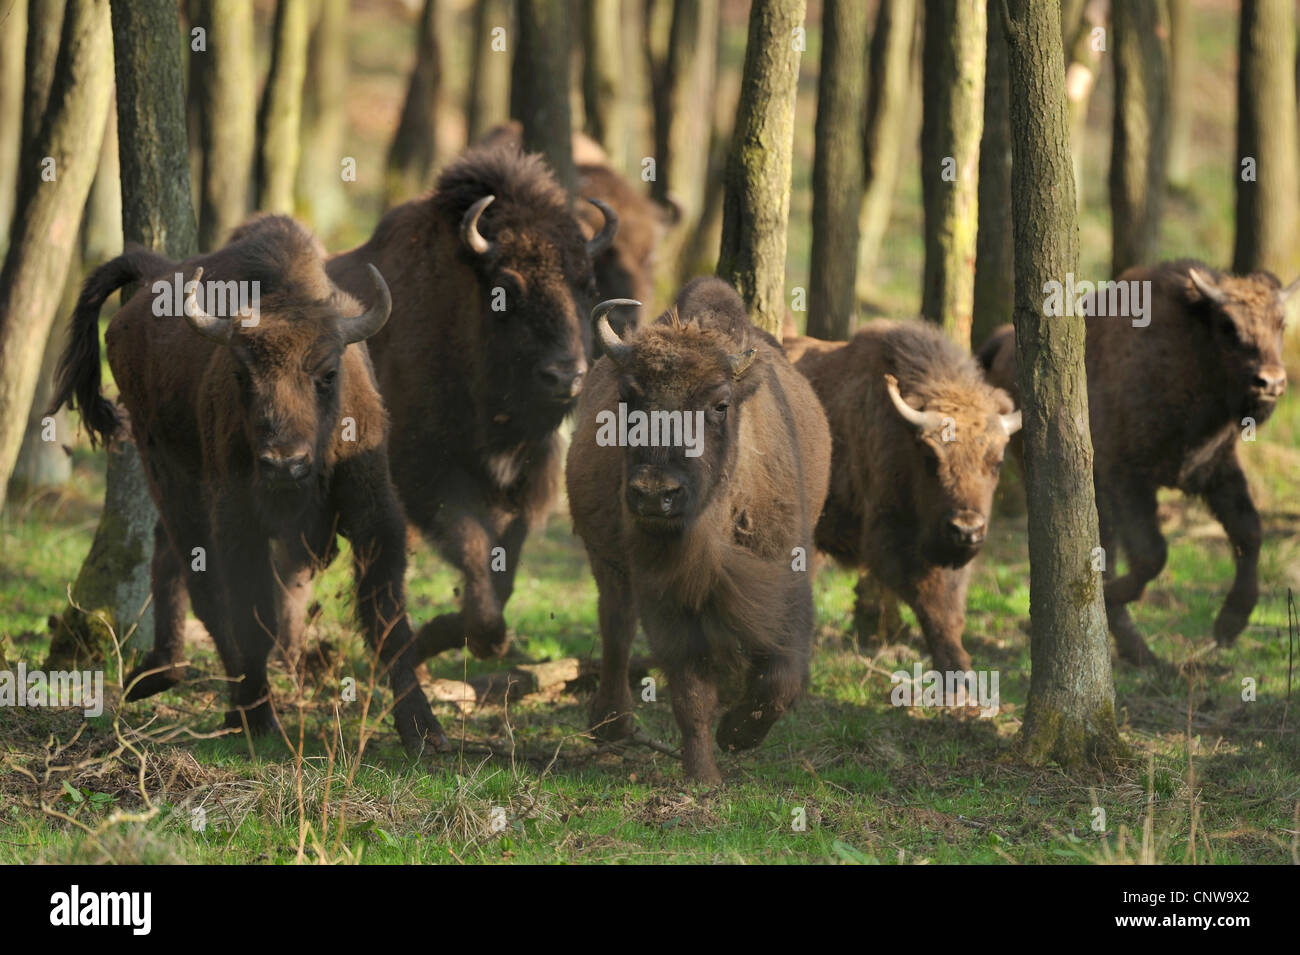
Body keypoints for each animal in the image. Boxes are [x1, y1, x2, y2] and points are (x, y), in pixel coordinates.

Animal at [49, 216, 445, 755]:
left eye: (327, 374)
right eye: (242, 375)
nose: (283, 463)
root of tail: (154, 272)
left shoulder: (373, 511)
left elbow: (387, 614)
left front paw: (425, 731)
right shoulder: (239, 522)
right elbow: (254, 612)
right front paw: (260, 718)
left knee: (171, 557)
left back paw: (165, 673)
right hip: (167, 470)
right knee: (201, 583)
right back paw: (226, 700)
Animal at [328, 142, 615, 661]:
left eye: (589, 287)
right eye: (506, 290)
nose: (566, 375)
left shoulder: (526, 483)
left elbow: (504, 568)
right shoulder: (429, 475)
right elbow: (473, 547)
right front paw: (471, 637)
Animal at [567, 278, 831, 783]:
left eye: (720, 405)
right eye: (628, 398)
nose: (655, 494)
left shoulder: (785, 575)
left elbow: (780, 678)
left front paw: (736, 735)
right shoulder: (667, 597)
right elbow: (690, 692)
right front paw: (704, 775)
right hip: (607, 562)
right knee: (617, 627)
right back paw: (612, 724)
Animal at [786, 321, 1021, 674]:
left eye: (997, 461)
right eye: (931, 457)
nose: (966, 529)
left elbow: (950, 607)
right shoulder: (891, 539)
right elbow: (931, 601)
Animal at [977, 260, 1294, 663]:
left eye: (1281, 323)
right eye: (1227, 324)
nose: (1270, 382)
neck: (1192, 348)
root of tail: (1003, 341)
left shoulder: (1214, 470)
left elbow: (1249, 532)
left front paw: (1229, 625)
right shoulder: (1127, 479)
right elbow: (1151, 554)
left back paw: (1147, 656)